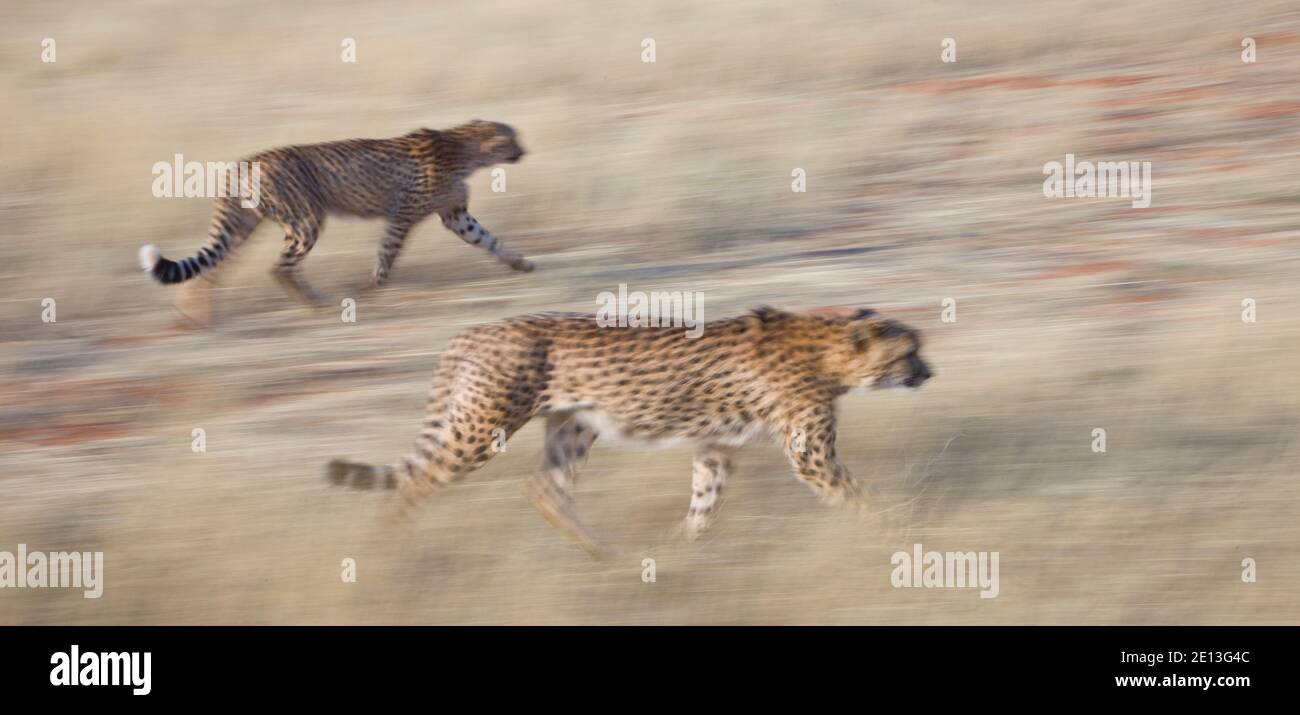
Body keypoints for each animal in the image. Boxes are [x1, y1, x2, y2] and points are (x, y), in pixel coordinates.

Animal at [137, 120, 531, 324]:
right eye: (513, 139)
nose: (524, 152)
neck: (465, 150)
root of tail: (248, 159)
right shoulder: (402, 216)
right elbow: (387, 255)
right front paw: (370, 289)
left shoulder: (455, 215)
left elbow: (488, 239)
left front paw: (520, 263)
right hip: (306, 220)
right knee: (279, 268)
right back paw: (314, 304)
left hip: (243, 226)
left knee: (211, 269)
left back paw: (194, 315)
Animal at [325, 306, 932, 556]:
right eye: (910, 352)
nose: (929, 373)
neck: (829, 350)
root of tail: (473, 330)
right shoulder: (812, 456)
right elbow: (860, 499)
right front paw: (905, 537)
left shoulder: (717, 446)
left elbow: (704, 501)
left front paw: (682, 549)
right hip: (484, 425)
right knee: (418, 483)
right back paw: (382, 555)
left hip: (573, 426)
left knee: (544, 487)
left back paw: (600, 554)